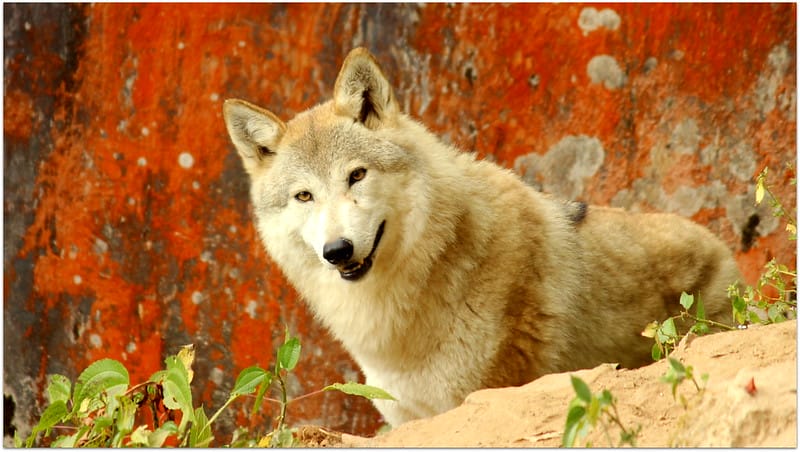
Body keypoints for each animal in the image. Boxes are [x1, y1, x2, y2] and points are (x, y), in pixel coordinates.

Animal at [222, 47, 743, 427]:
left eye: (356, 175)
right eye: (304, 196)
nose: (337, 251)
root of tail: (725, 251)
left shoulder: (475, 399)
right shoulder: (410, 419)